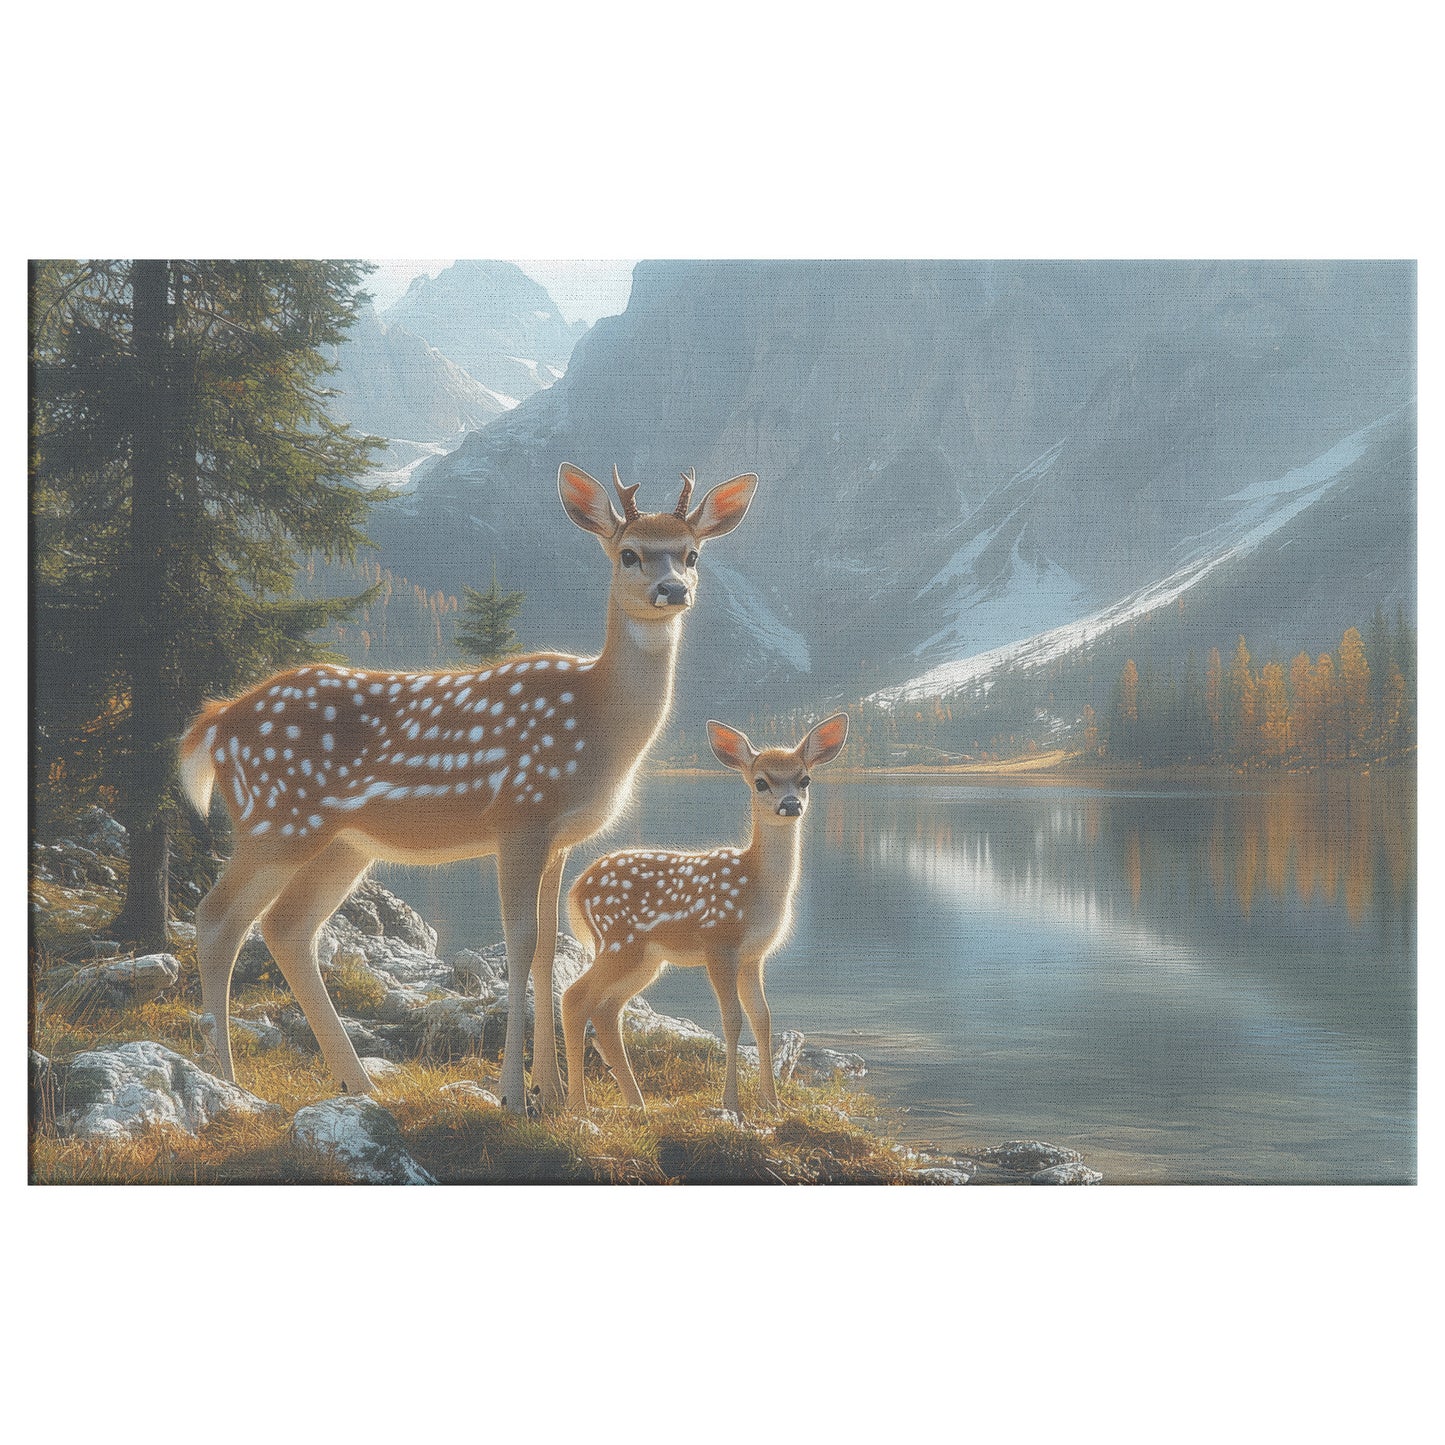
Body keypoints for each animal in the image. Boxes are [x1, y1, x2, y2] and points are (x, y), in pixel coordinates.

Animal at [175, 463, 757, 1113]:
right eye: (629, 553)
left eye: (692, 553)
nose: (672, 590)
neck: (598, 720)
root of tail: (217, 720)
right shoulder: (520, 814)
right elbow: (520, 942)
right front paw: (513, 1094)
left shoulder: (561, 837)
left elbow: (549, 949)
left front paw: (551, 1092)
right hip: (275, 818)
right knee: (217, 918)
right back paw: (225, 1078)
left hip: (343, 841)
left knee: (286, 926)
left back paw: (358, 1081)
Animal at [561, 712, 849, 1119]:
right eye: (761, 782)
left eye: (805, 778)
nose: (791, 804)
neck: (758, 888)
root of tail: (575, 891)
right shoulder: (719, 944)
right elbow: (732, 1020)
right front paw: (732, 1104)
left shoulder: (753, 955)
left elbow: (762, 1019)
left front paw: (772, 1104)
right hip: (620, 943)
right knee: (574, 998)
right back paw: (579, 1106)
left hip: (646, 959)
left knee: (606, 1011)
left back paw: (637, 1103)